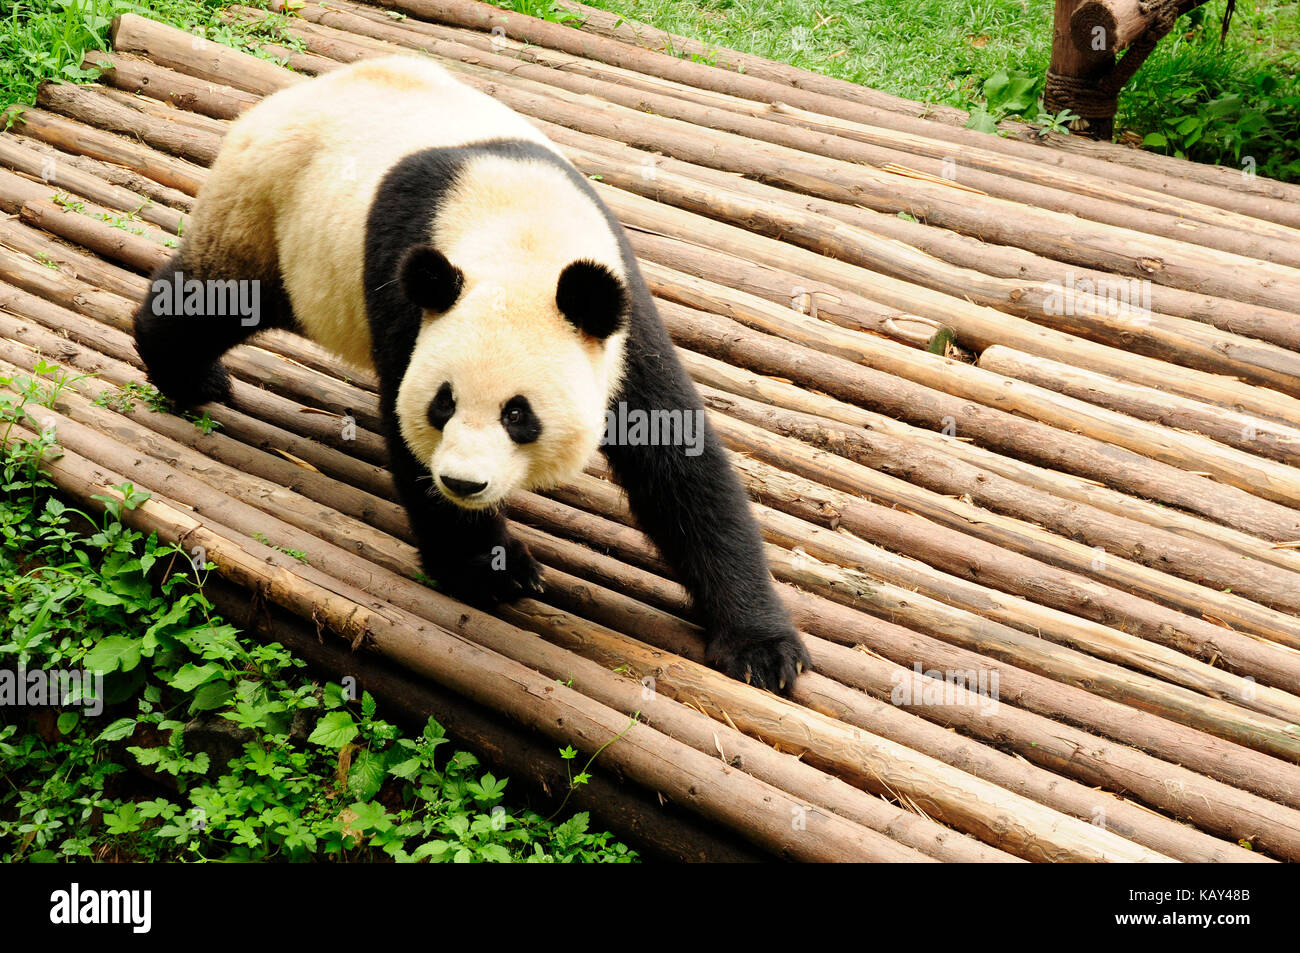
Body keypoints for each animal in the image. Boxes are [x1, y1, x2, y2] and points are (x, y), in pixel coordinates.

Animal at [133, 55, 809, 694]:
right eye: (443, 404)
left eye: (519, 414)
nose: (463, 482)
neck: (519, 234)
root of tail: (281, 100)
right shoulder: (407, 293)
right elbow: (405, 433)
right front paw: (495, 568)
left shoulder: (619, 317)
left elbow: (678, 463)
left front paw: (763, 650)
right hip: (270, 213)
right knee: (213, 301)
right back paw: (190, 376)